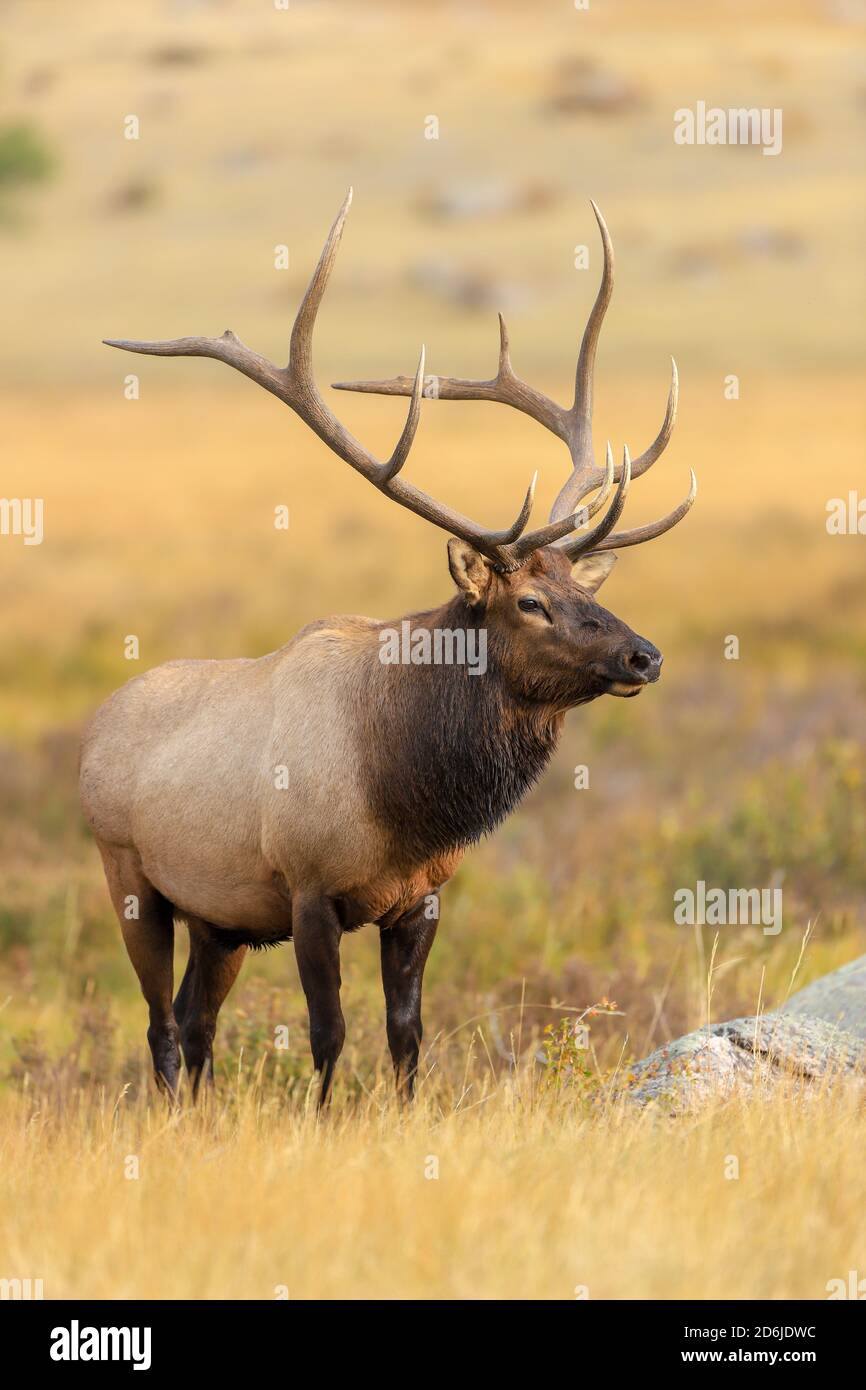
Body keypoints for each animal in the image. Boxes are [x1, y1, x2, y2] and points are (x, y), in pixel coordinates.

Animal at [81, 191, 695, 1106]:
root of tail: (92, 730)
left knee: (195, 1022)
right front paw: (324, 1119)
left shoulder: (419, 899)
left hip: (220, 918)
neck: (405, 794)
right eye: (530, 602)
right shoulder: (306, 889)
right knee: (159, 1023)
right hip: (130, 876)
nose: (642, 656)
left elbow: (407, 1034)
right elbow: (329, 1033)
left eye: (588, 591)